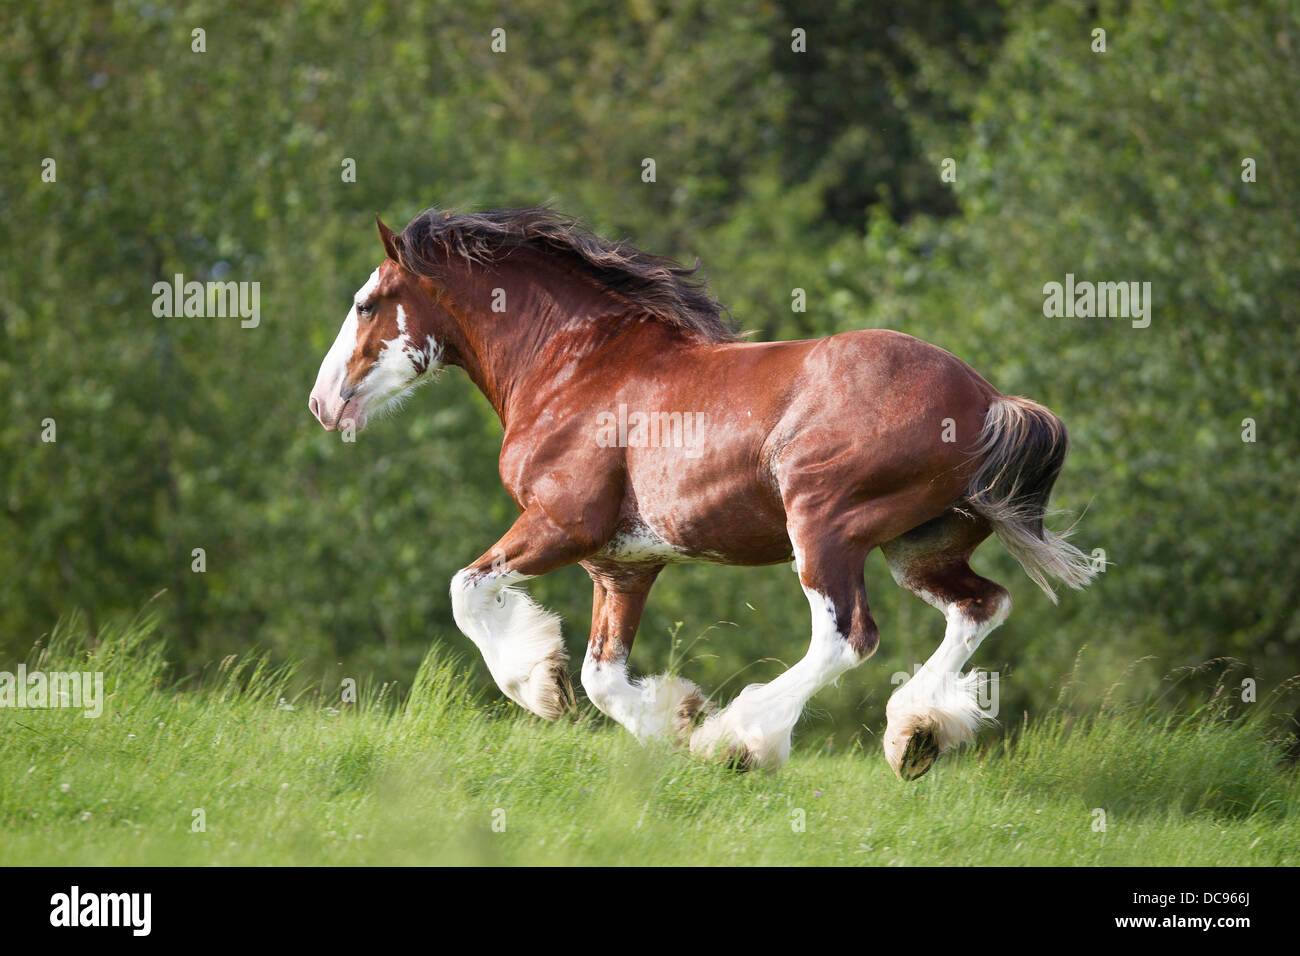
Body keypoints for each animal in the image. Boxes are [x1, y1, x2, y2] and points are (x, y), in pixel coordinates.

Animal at [308, 207, 1095, 779]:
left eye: (368, 303)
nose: (323, 403)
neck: (573, 365)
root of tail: (989, 401)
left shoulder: (562, 524)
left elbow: (467, 592)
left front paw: (541, 689)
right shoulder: (623, 564)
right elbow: (601, 675)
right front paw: (670, 715)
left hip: (825, 527)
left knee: (847, 637)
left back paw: (741, 741)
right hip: (918, 547)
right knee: (980, 606)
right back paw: (917, 737)